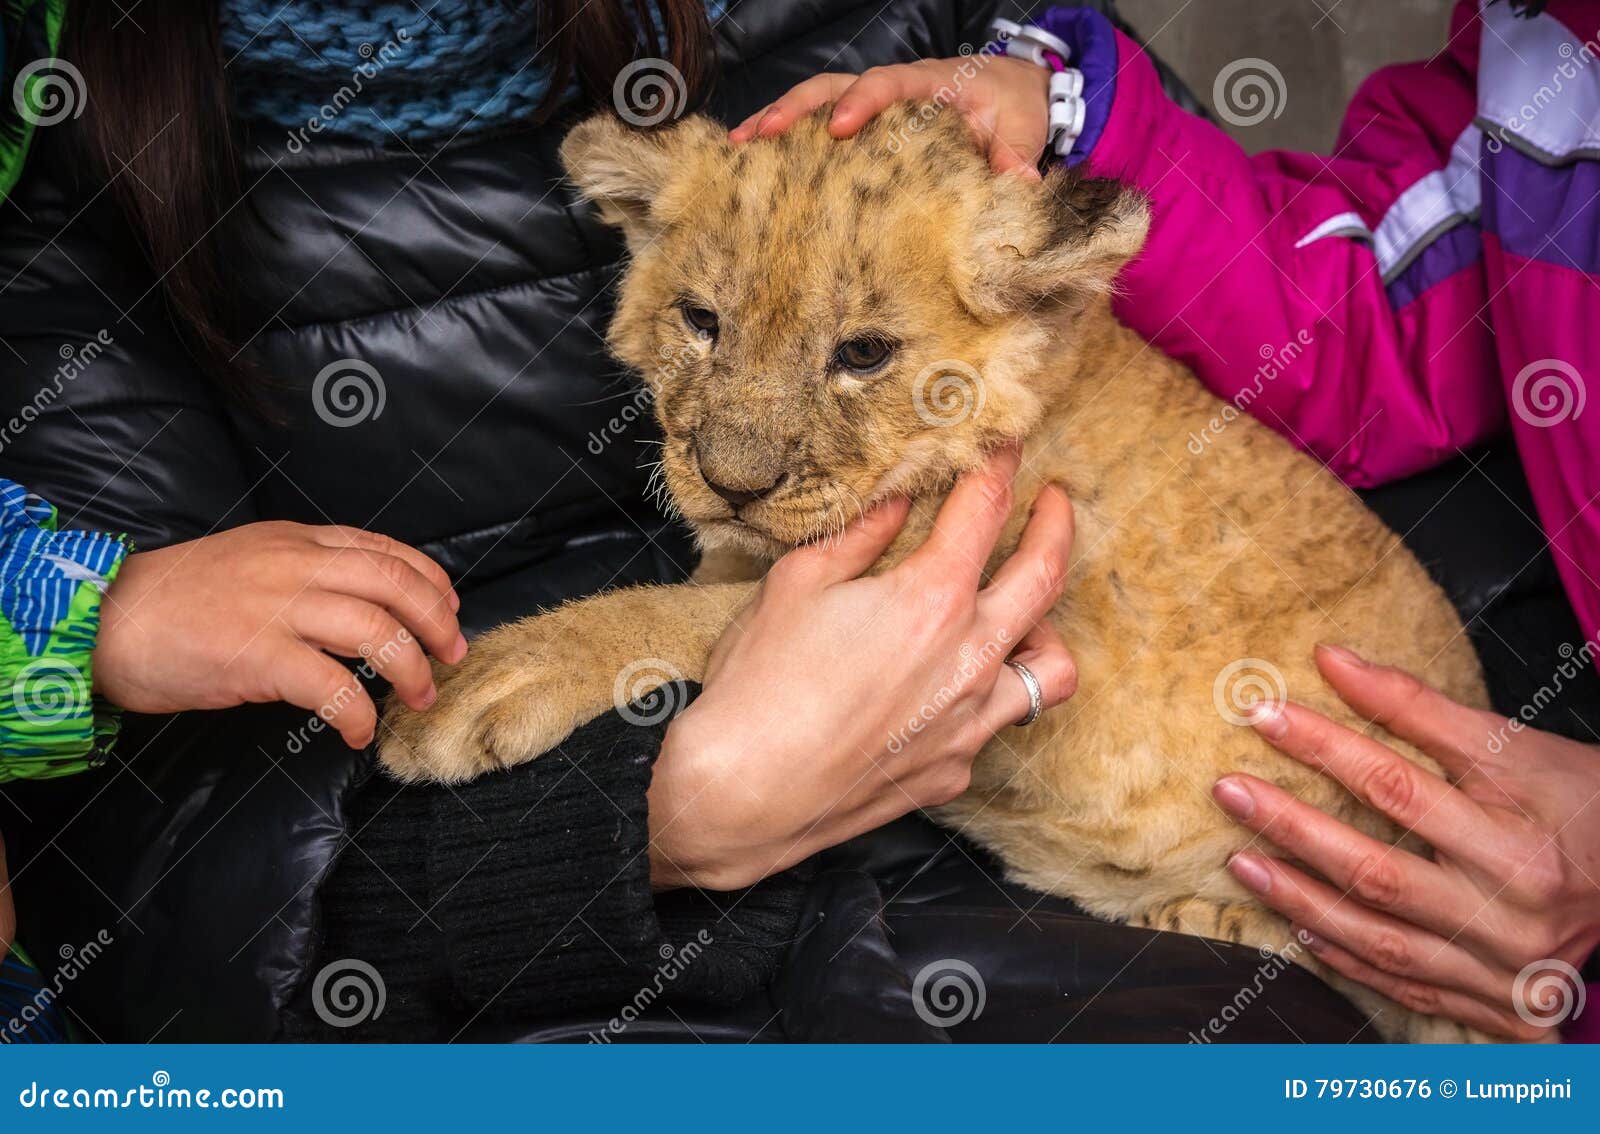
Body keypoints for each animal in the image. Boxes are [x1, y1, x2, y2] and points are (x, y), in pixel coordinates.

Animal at [379, 106, 1497, 1043]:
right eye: (700, 321)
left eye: (864, 353)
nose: (730, 484)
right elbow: (707, 586)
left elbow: (689, 618)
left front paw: (483, 683)